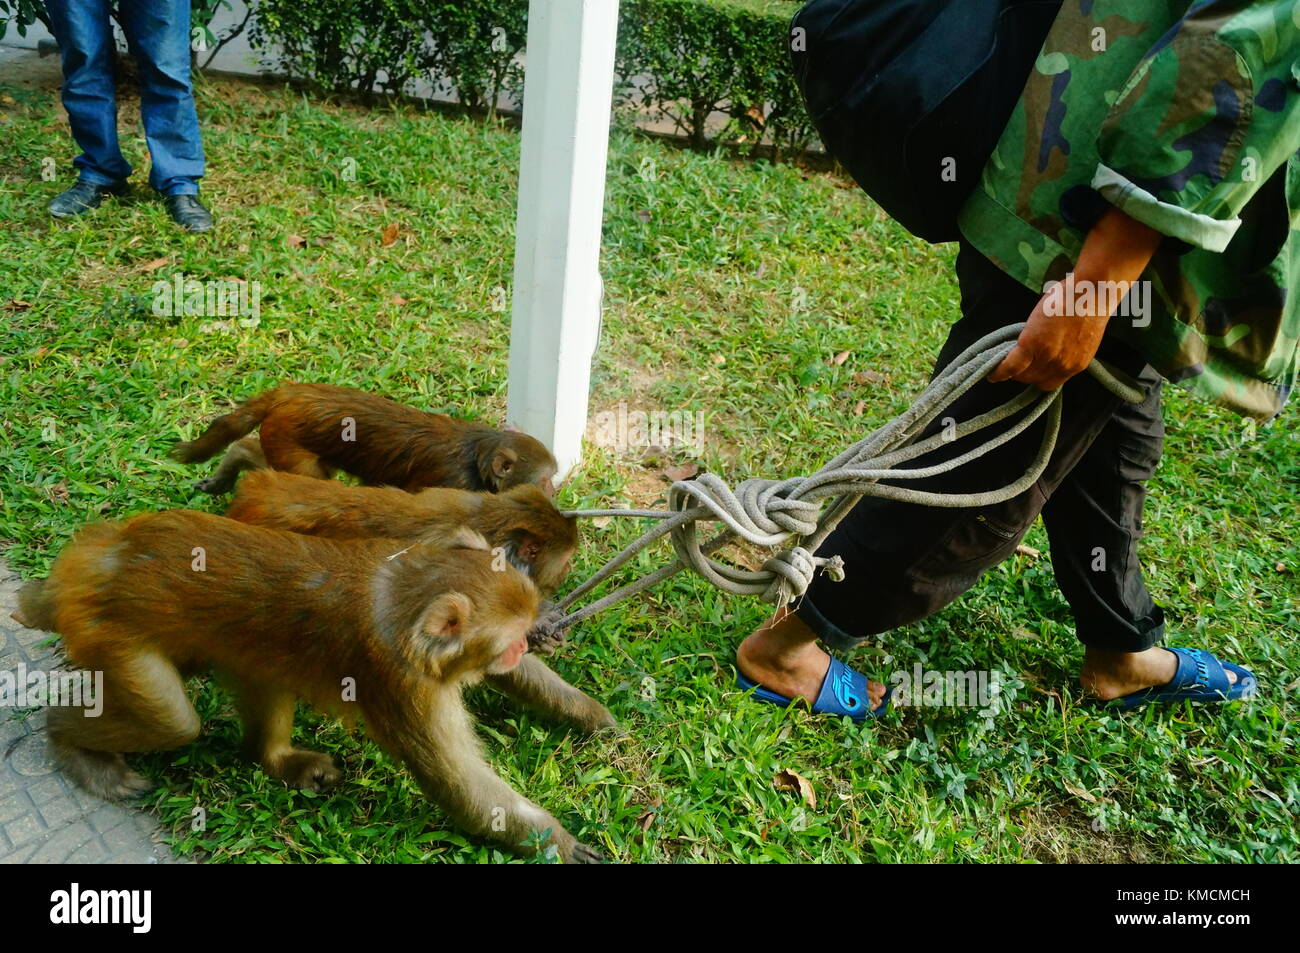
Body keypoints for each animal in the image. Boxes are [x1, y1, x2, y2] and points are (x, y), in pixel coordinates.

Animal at [13, 511, 612, 862]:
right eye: (508, 642)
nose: (523, 645)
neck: (402, 594)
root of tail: (90, 563)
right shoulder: (403, 684)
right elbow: (460, 785)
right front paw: (558, 843)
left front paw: (585, 712)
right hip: (110, 633)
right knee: (171, 721)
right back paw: (69, 741)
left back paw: (275, 759)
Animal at [171, 382, 558, 496]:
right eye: (544, 481)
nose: (553, 495)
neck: (478, 458)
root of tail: (291, 393)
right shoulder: (454, 484)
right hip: (288, 438)